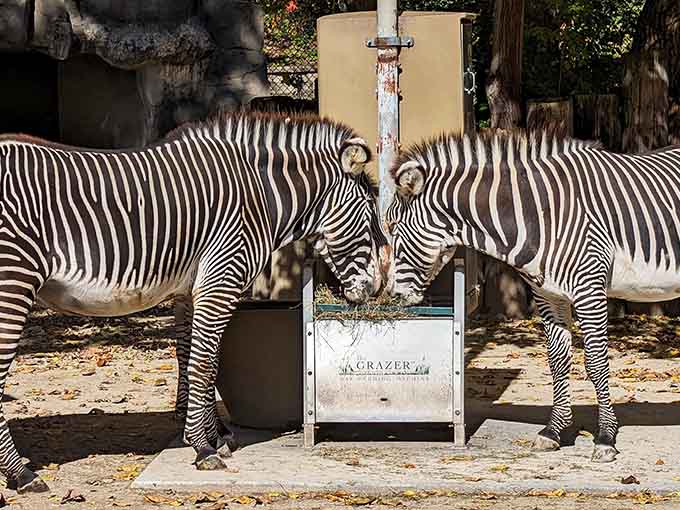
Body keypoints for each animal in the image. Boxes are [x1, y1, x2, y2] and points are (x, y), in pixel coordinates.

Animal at [0, 111, 385, 493]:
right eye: (370, 212)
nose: (378, 287)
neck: (259, 195)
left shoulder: (188, 292)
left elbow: (192, 361)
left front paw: (212, 434)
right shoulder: (221, 281)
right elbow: (204, 365)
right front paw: (203, 447)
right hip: (13, 282)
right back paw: (21, 474)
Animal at [385, 129, 680, 463]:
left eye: (392, 226)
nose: (392, 296)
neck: (536, 214)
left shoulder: (589, 289)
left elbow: (596, 363)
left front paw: (605, 438)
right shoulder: (548, 295)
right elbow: (558, 362)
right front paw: (553, 432)